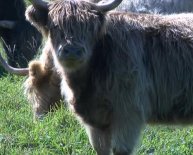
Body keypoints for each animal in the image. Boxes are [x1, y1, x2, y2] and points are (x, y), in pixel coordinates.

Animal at [1, 0, 193, 154]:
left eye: (89, 27)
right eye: (55, 26)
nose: (72, 50)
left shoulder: (128, 116)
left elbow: (120, 149)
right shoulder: (96, 124)